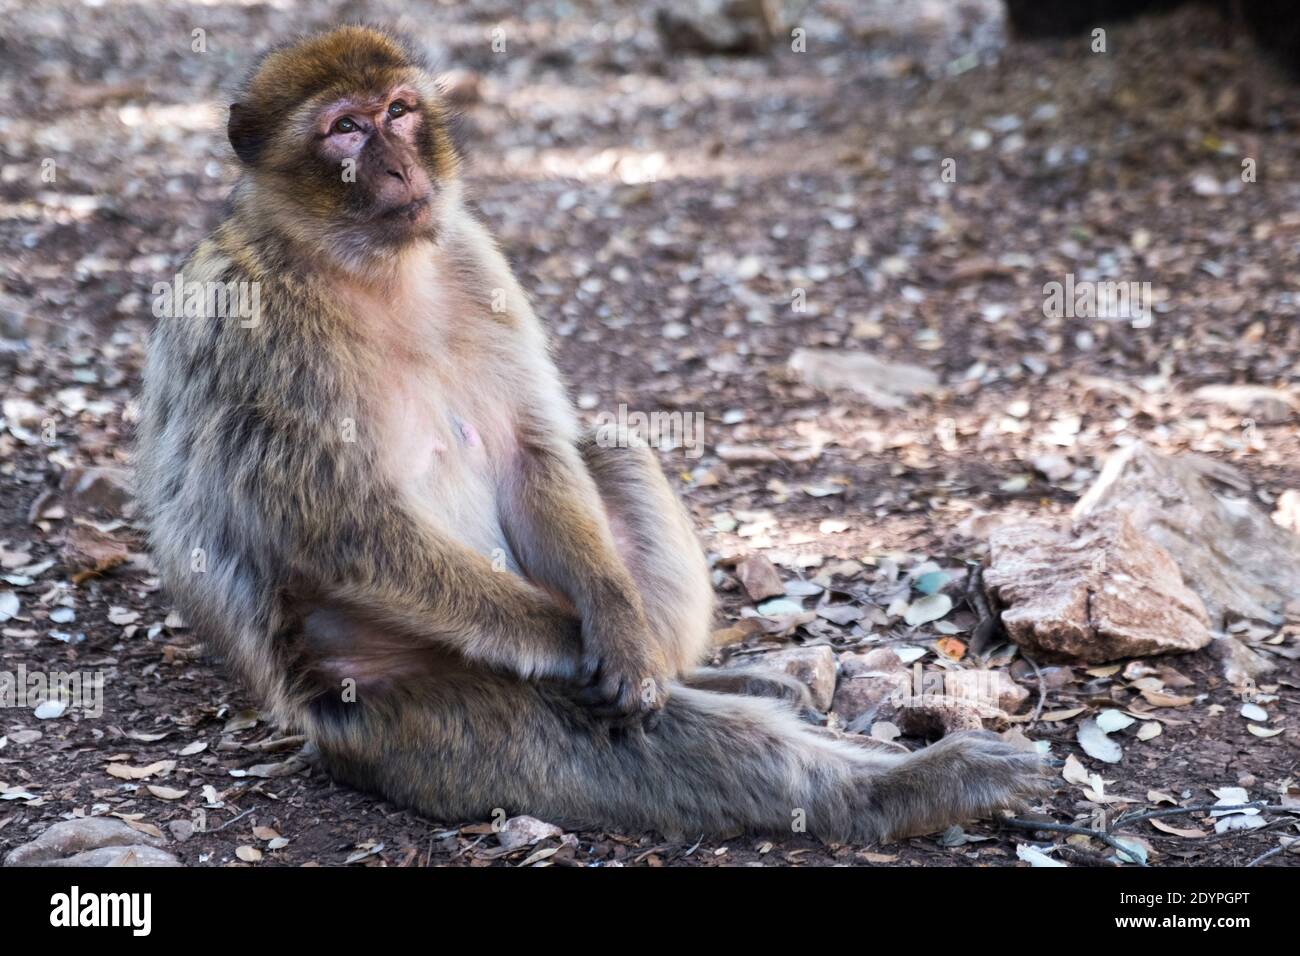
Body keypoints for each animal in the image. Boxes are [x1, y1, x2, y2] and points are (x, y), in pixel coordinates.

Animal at [136, 25, 1046, 845]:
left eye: (397, 110)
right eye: (344, 129)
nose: (400, 165)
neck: (365, 266)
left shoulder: (472, 258)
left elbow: (531, 450)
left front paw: (615, 625)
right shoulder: (248, 325)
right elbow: (332, 519)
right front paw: (558, 637)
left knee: (612, 452)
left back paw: (699, 672)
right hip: (422, 716)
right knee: (632, 742)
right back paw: (907, 789)